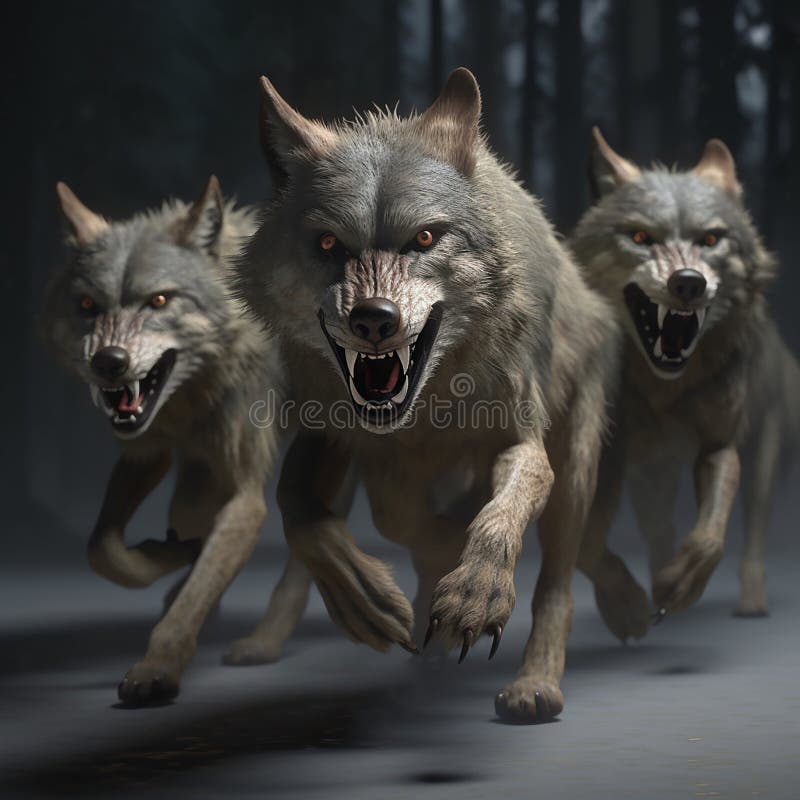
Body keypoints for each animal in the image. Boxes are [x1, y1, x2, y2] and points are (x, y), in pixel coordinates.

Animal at [42, 177, 312, 705]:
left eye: (160, 301)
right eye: (88, 307)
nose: (108, 361)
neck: (191, 396)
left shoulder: (247, 496)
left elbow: (198, 589)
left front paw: (157, 669)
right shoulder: (148, 454)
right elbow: (101, 548)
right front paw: (163, 558)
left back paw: (264, 642)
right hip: (195, 486)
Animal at [234, 67, 620, 723]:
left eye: (425, 237)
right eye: (330, 245)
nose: (374, 318)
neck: (430, 412)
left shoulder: (522, 440)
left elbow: (498, 516)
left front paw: (473, 592)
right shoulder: (334, 434)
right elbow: (305, 507)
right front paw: (368, 599)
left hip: (576, 466)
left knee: (559, 586)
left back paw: (534, 683)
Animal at [572, 129, 799, 635]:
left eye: (710, 239)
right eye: (641, 237)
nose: (689, 282)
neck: (665, 390)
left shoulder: (718, 447)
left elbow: (709, 539)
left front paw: (680, 585)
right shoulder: (611, 458)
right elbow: (587, 545)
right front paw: (627, 607)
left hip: (764, 454)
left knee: (753, 535)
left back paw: (750, 601)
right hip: (650, 477)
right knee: (660, 530)